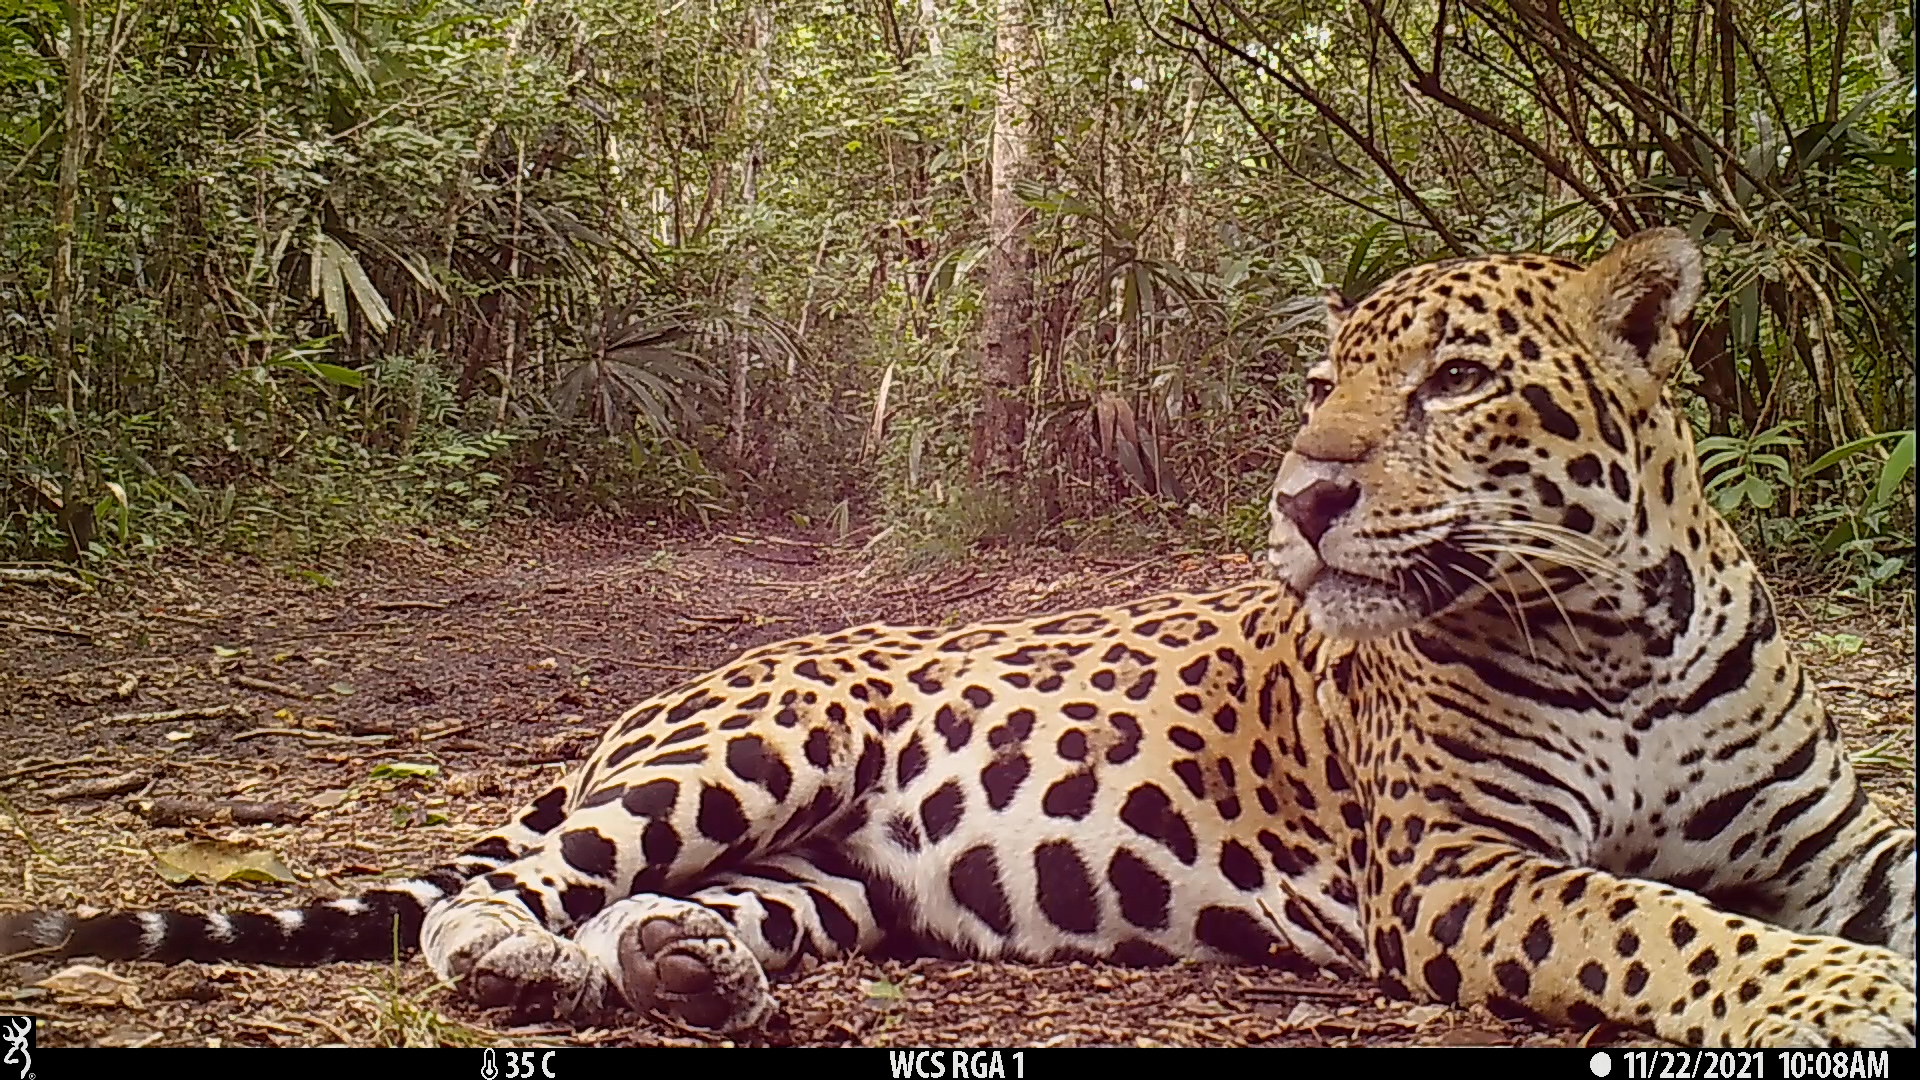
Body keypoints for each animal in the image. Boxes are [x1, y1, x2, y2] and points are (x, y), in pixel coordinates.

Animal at [4, 229, 1913, 1048]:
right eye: (1322, 383)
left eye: (1452, 382)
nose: (1300, 494)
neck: (1613, 629)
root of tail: (680, 685)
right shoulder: (1463, 870)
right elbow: (1669, 929)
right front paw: (1860, 996)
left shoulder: (1832, 837)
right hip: (750, 747)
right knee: (495, 891)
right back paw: (528, 967)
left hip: (841, 877)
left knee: (656, 909)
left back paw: (689, 968)